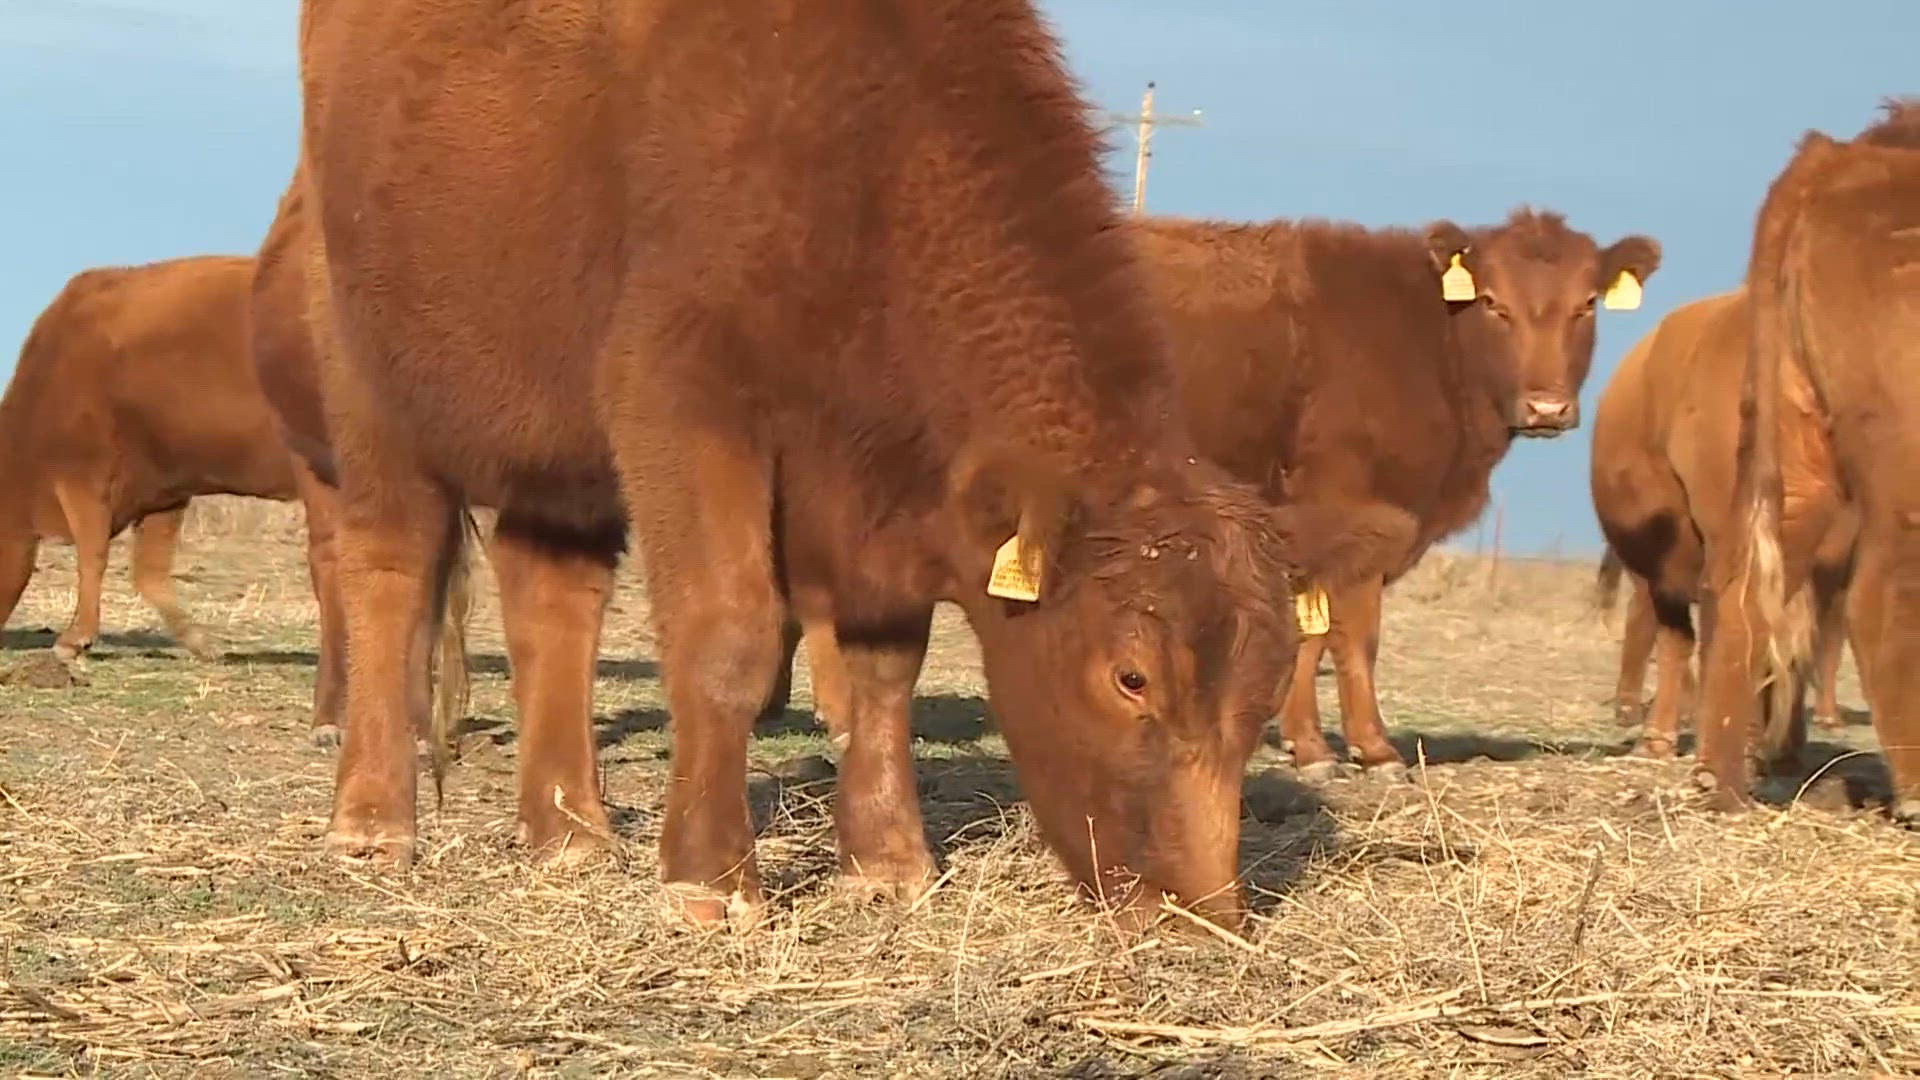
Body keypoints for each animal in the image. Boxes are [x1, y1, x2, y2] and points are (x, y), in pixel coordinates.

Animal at [0, 258, 301, 662]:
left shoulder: (83, 476)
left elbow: (92, 555)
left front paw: (74, 639)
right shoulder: (164, 491)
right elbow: (149, 573)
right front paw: (200, 642)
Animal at [294, 0, 1409, 928]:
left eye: (1264, 689)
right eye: (1130, 676)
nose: (1201, 911)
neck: (868, 152)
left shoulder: (880, 490)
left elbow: (882, 666)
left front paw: (888, 862)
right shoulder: (681, 402)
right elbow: (730, 635)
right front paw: (711, 879)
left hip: (553, 452)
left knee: (553, 601)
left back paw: (570, 831)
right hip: (371, 377)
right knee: (390, 571)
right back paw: (374, 822)